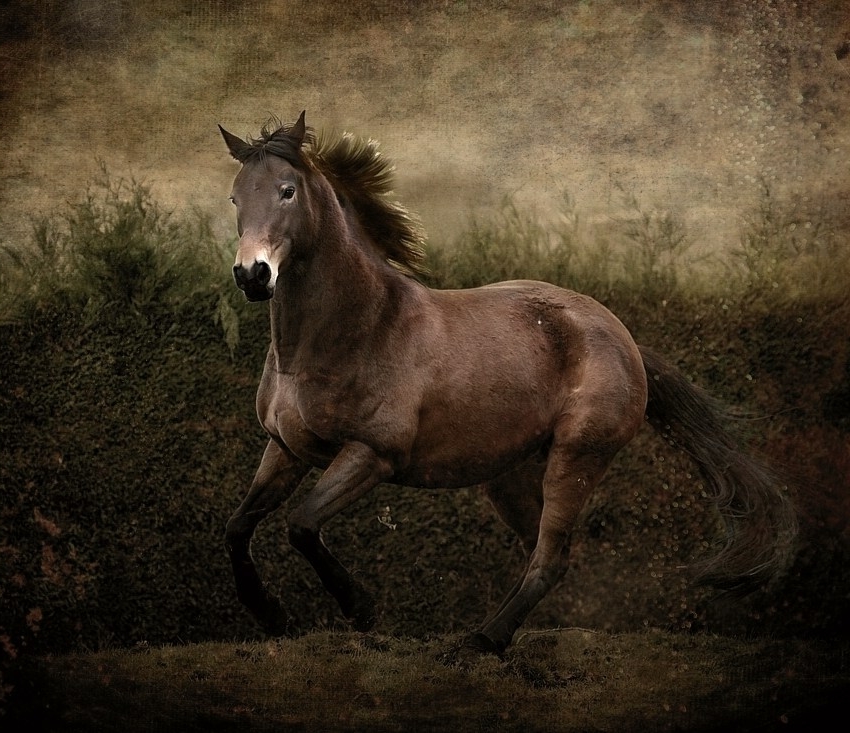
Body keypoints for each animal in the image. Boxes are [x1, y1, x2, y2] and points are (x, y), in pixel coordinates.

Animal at [218, 112, 797, 656]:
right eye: (234, 198)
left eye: (287, 190)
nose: (253, 275)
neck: (352, 330)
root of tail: (624, 338)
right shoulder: (286, 448)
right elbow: (237, 527)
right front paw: (272, 616)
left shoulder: (371, 454)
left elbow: (301, 524)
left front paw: (360, 609)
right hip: (511, 475)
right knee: (542, 550)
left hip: (577, 458)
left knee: (549, 556)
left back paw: (484, 639)